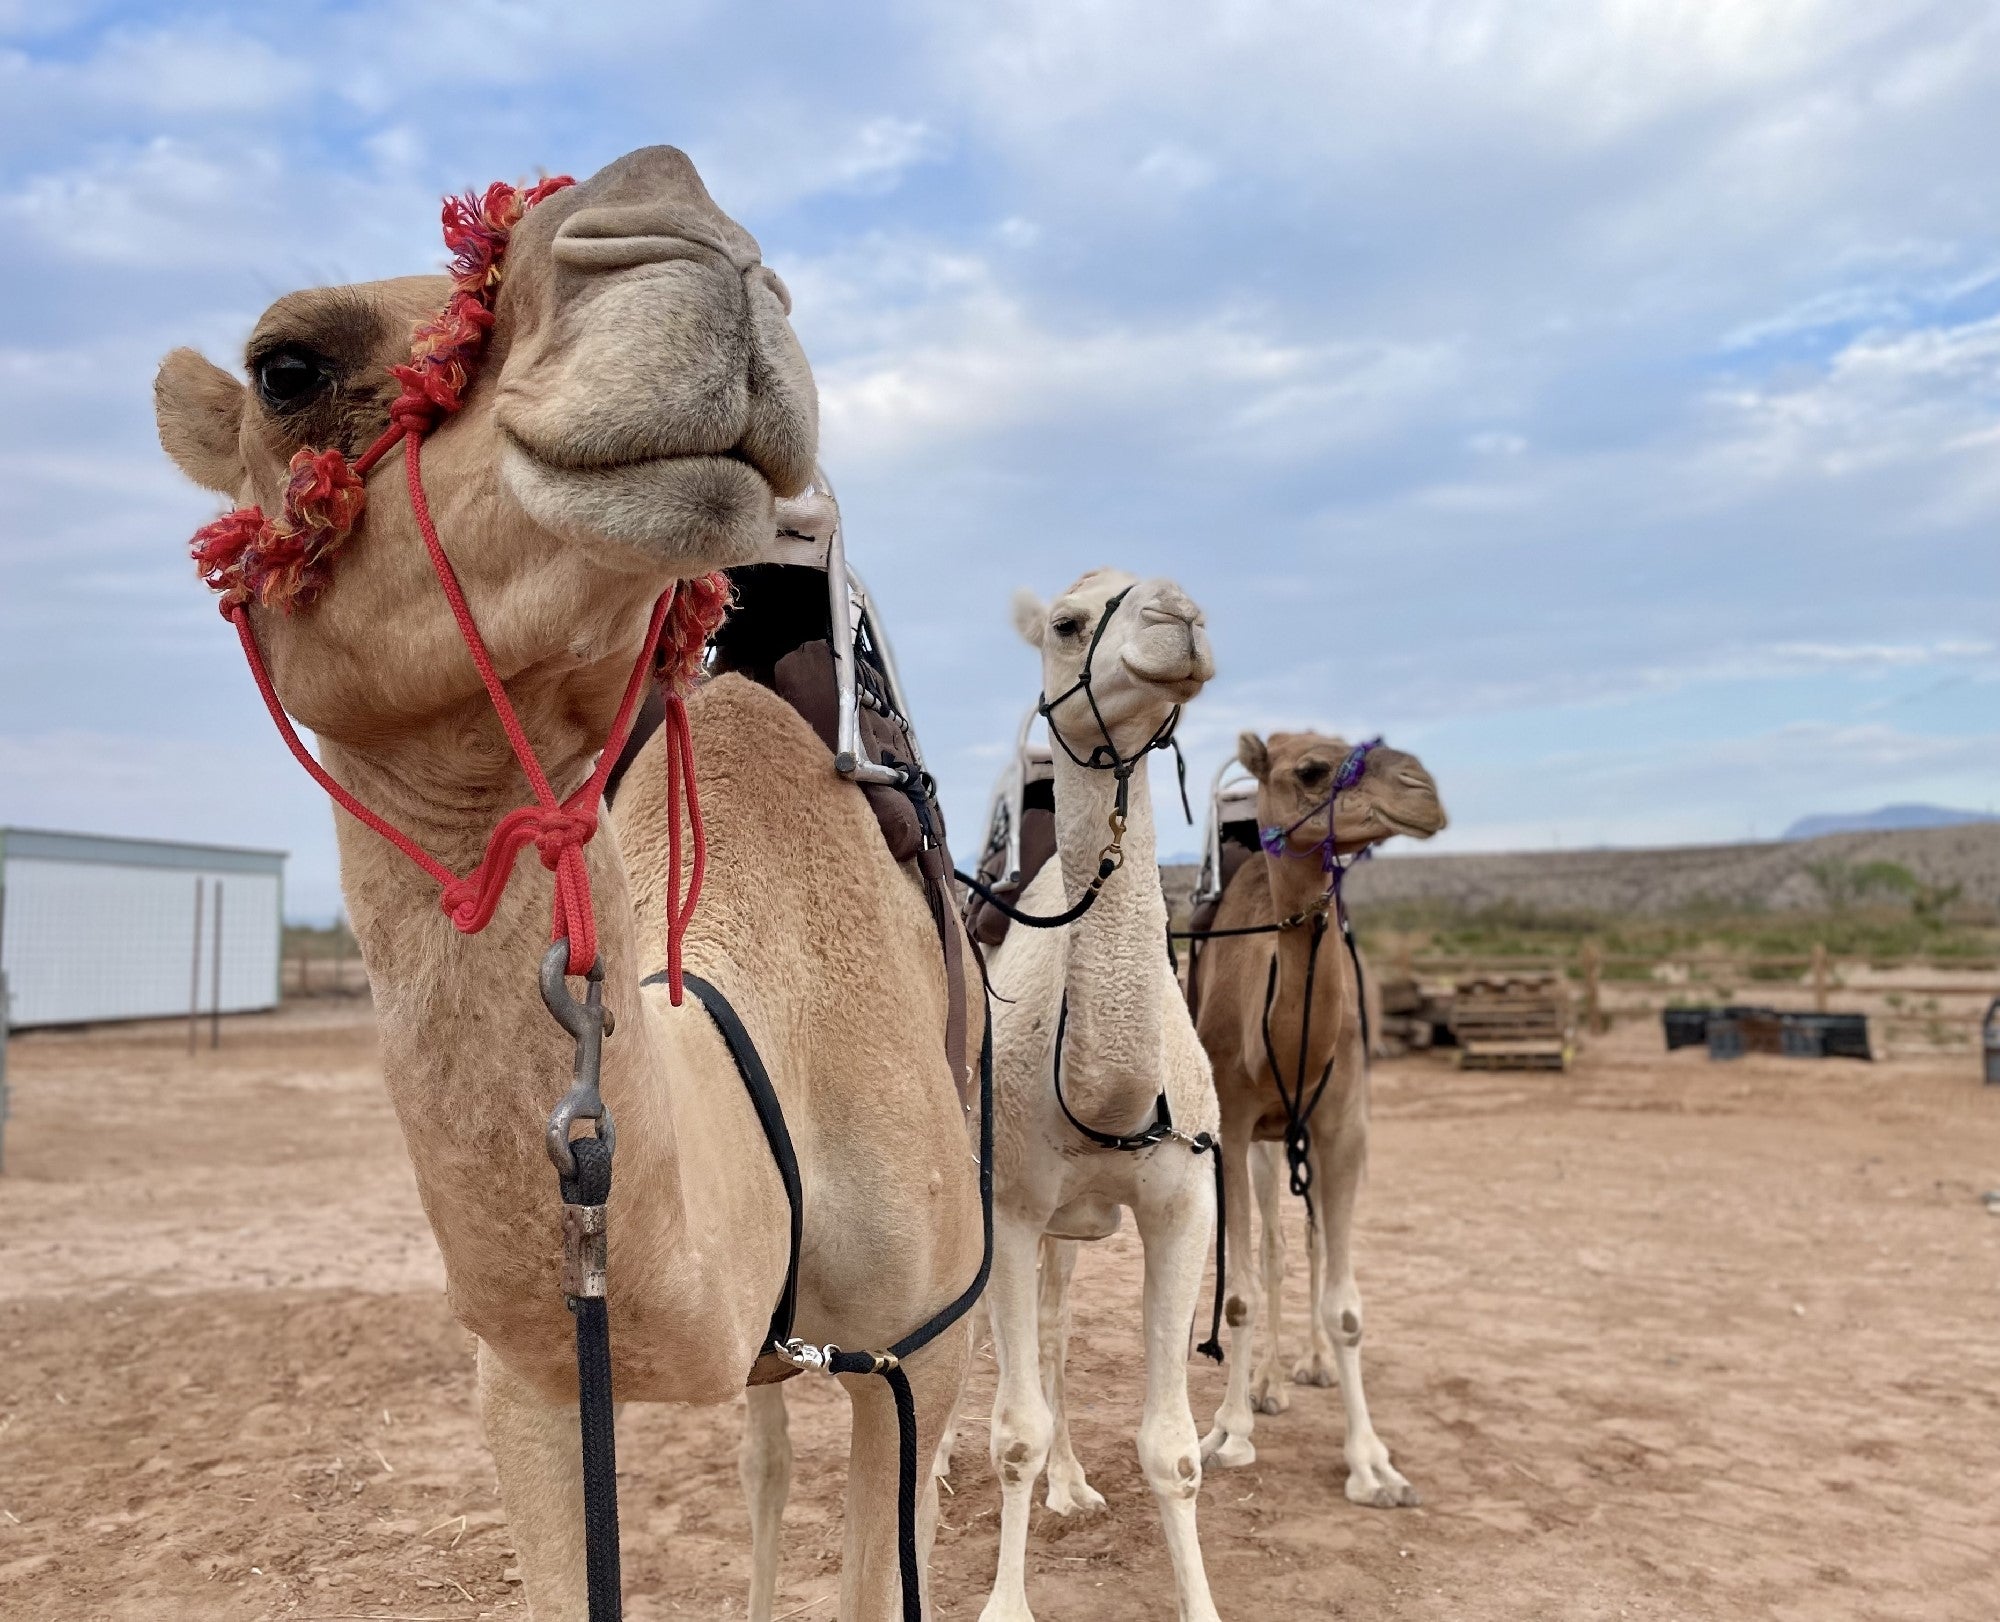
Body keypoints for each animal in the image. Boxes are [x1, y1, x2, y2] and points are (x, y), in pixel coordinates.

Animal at [1191, 730, 1444, 1506]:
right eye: (1310, 770)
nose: (1424, 789)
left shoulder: (1342, 1129)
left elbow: (1347, 1305)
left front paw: (1373, 1464)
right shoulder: (1234, 1124)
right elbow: (1239, 1292)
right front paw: (1230, 1431)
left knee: (1303, 1241)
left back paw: (1307, 1367)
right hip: (1261, 1142)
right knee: (1269, 1246)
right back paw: (1264, 1387)